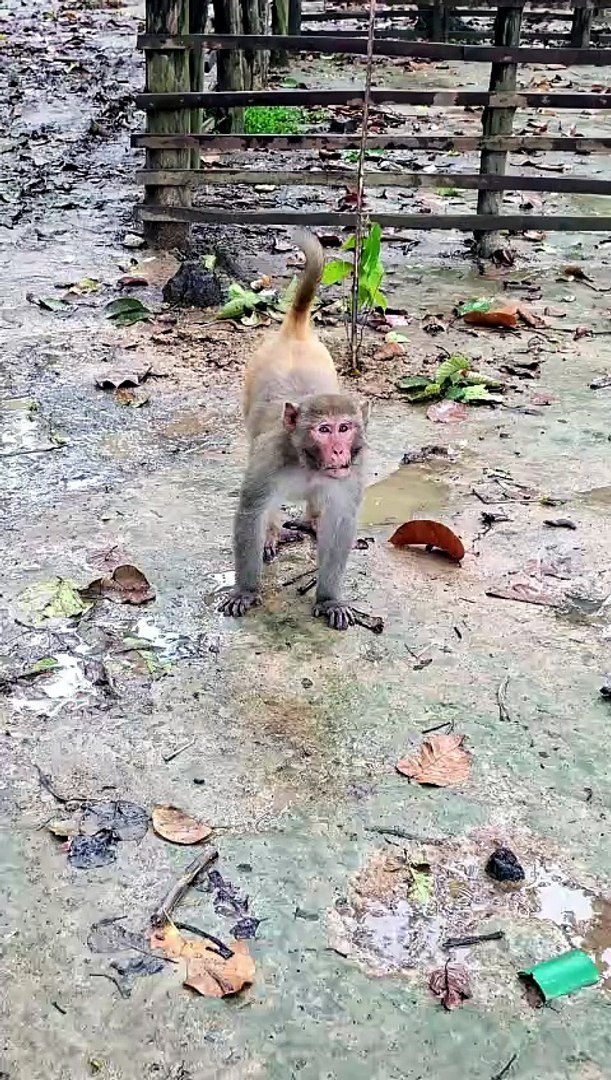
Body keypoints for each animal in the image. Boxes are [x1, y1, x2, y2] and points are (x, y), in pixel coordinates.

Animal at [219, 229, 370, 631]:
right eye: (323, 430)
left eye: (344, 428)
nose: (338, 451)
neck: (308, 463)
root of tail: (295, 332)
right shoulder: (270, 458)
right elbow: (251, 513)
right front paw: (245, 589)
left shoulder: (354, 470)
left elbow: (340, 521)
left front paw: (329, 599)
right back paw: (273, 533)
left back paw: (312, 520)